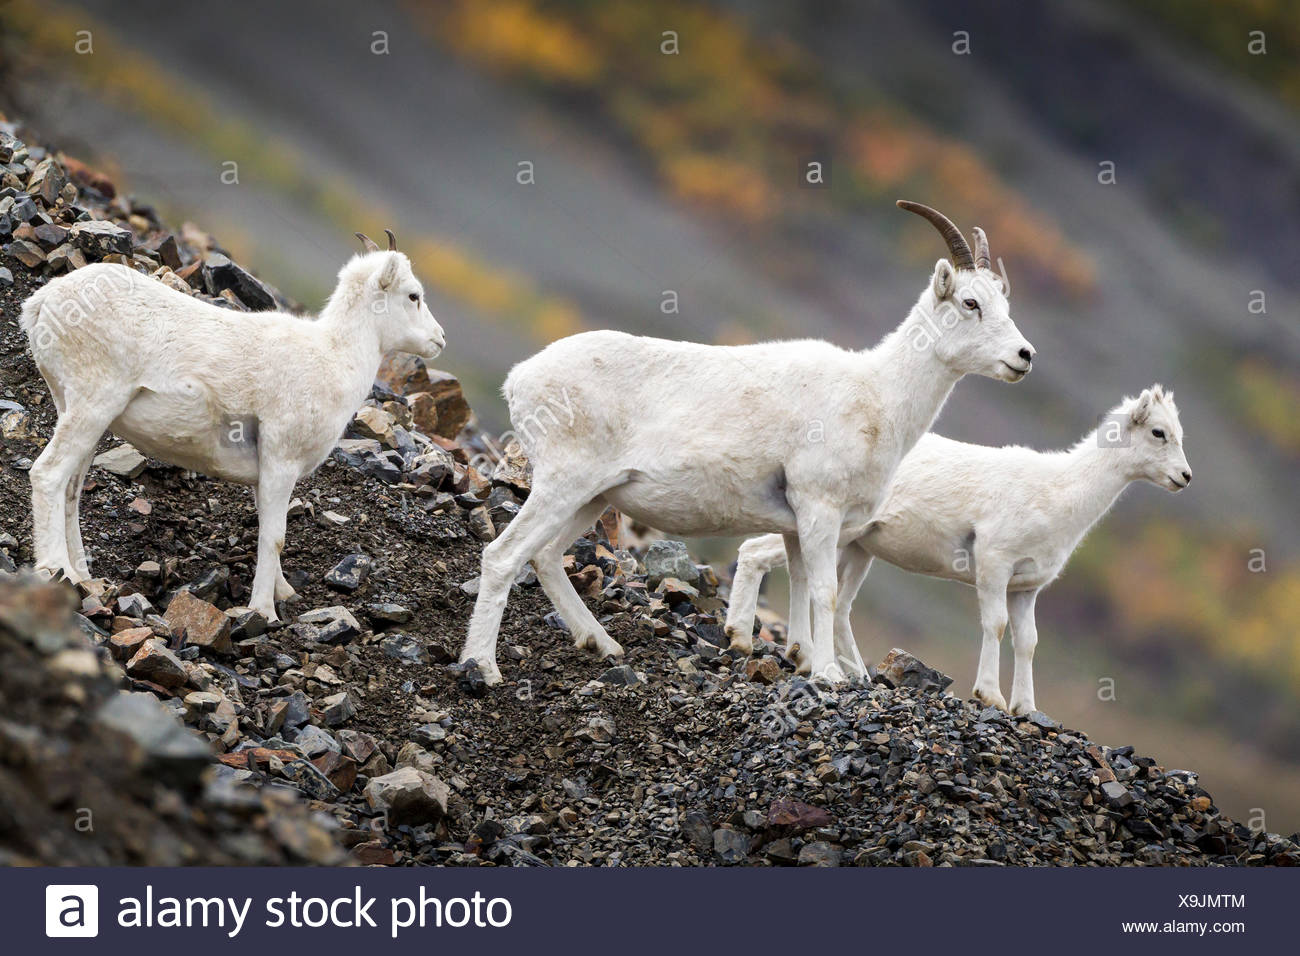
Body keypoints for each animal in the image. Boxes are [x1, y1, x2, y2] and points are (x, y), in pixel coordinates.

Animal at [20, 230, 445, 622]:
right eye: (413, 296)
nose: (440, 339)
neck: (334, 357)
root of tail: (43, 302)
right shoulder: (280, 463)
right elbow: (274, 538)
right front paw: (264, 613)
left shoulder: (265, 475)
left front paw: (285, 593)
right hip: (91, 406)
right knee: (48, 475)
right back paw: (56, 571)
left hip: (81, 414)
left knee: (71, 491)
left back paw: (84, 577)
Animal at [459, 201, 1036, 685]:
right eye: (970, 302)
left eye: (1005, 303)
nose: (1024, 356)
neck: (878, 396)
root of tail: (520, 379)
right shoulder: (820, 511)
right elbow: (824, 593)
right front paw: (828, 676)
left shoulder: (797, 526)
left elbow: (800, 590)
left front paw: (803, 661)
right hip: (564, 485)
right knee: (504, 557)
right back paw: (484, 668)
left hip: (593, 498)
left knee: (545, 557)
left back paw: (604, 646)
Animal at [724, 386, 1191, 714]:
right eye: (1158, 433)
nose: (1185, 477)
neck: (1059, 494)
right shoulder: (994, 567)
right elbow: (996, 627)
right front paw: (990, 697)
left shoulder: (1027, 588)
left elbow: (1028, 642)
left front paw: (1026, 708)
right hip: (829, 533)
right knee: (756, 552)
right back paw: (742, 638)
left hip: (857, 549)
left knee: (839, 605)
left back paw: (851, 672)